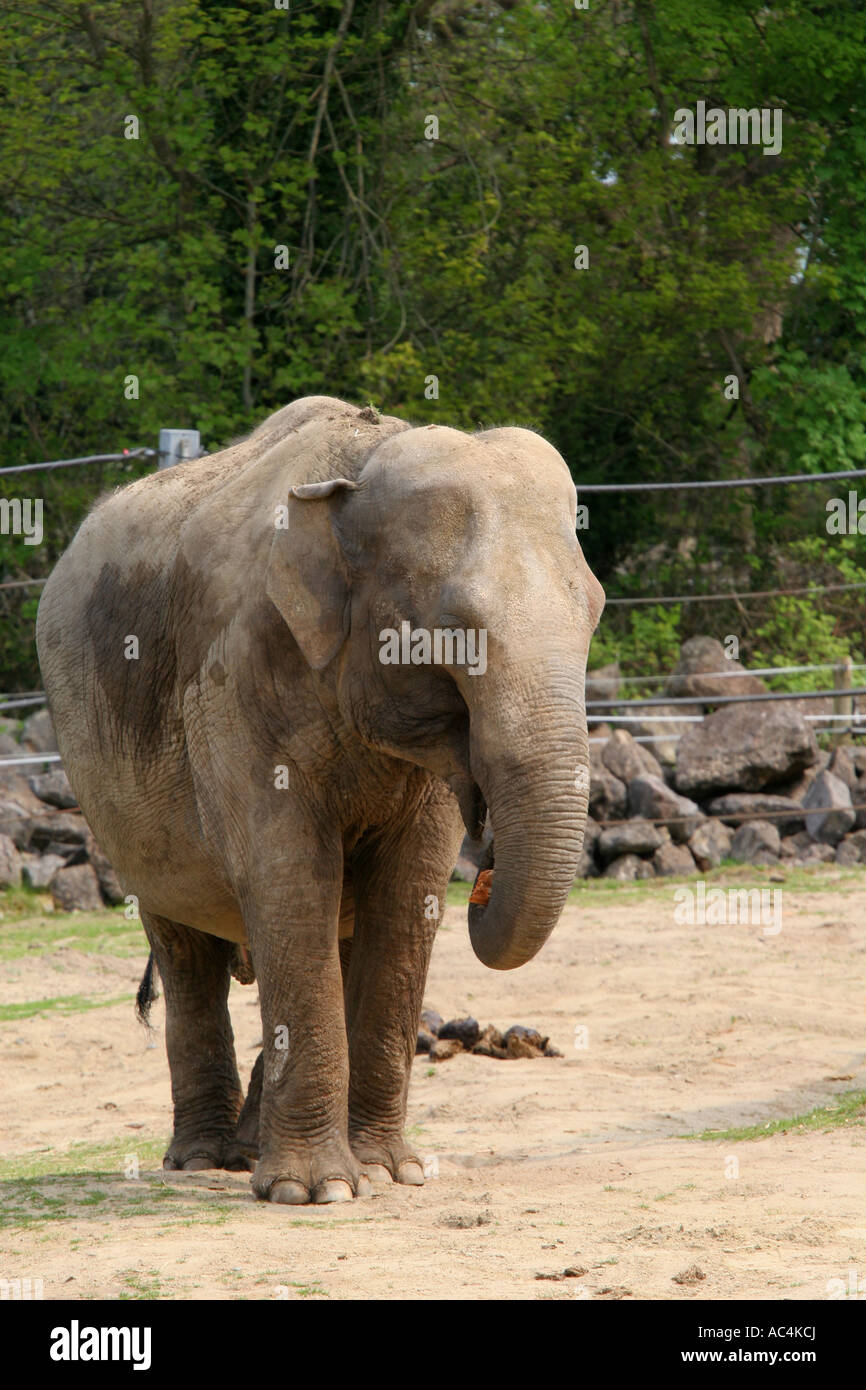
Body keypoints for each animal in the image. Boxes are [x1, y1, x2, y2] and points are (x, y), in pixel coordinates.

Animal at [36, 395, 604, 1205]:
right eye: (454, 631)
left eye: (595, 612)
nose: (489, 860)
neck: (358, 472)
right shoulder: (236, 678)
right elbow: (290, 877)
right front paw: (320, 1192)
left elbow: (408, 891)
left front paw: (392, 1173)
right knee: (183, 945)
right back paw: (205, 1159)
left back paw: (251, 1149)